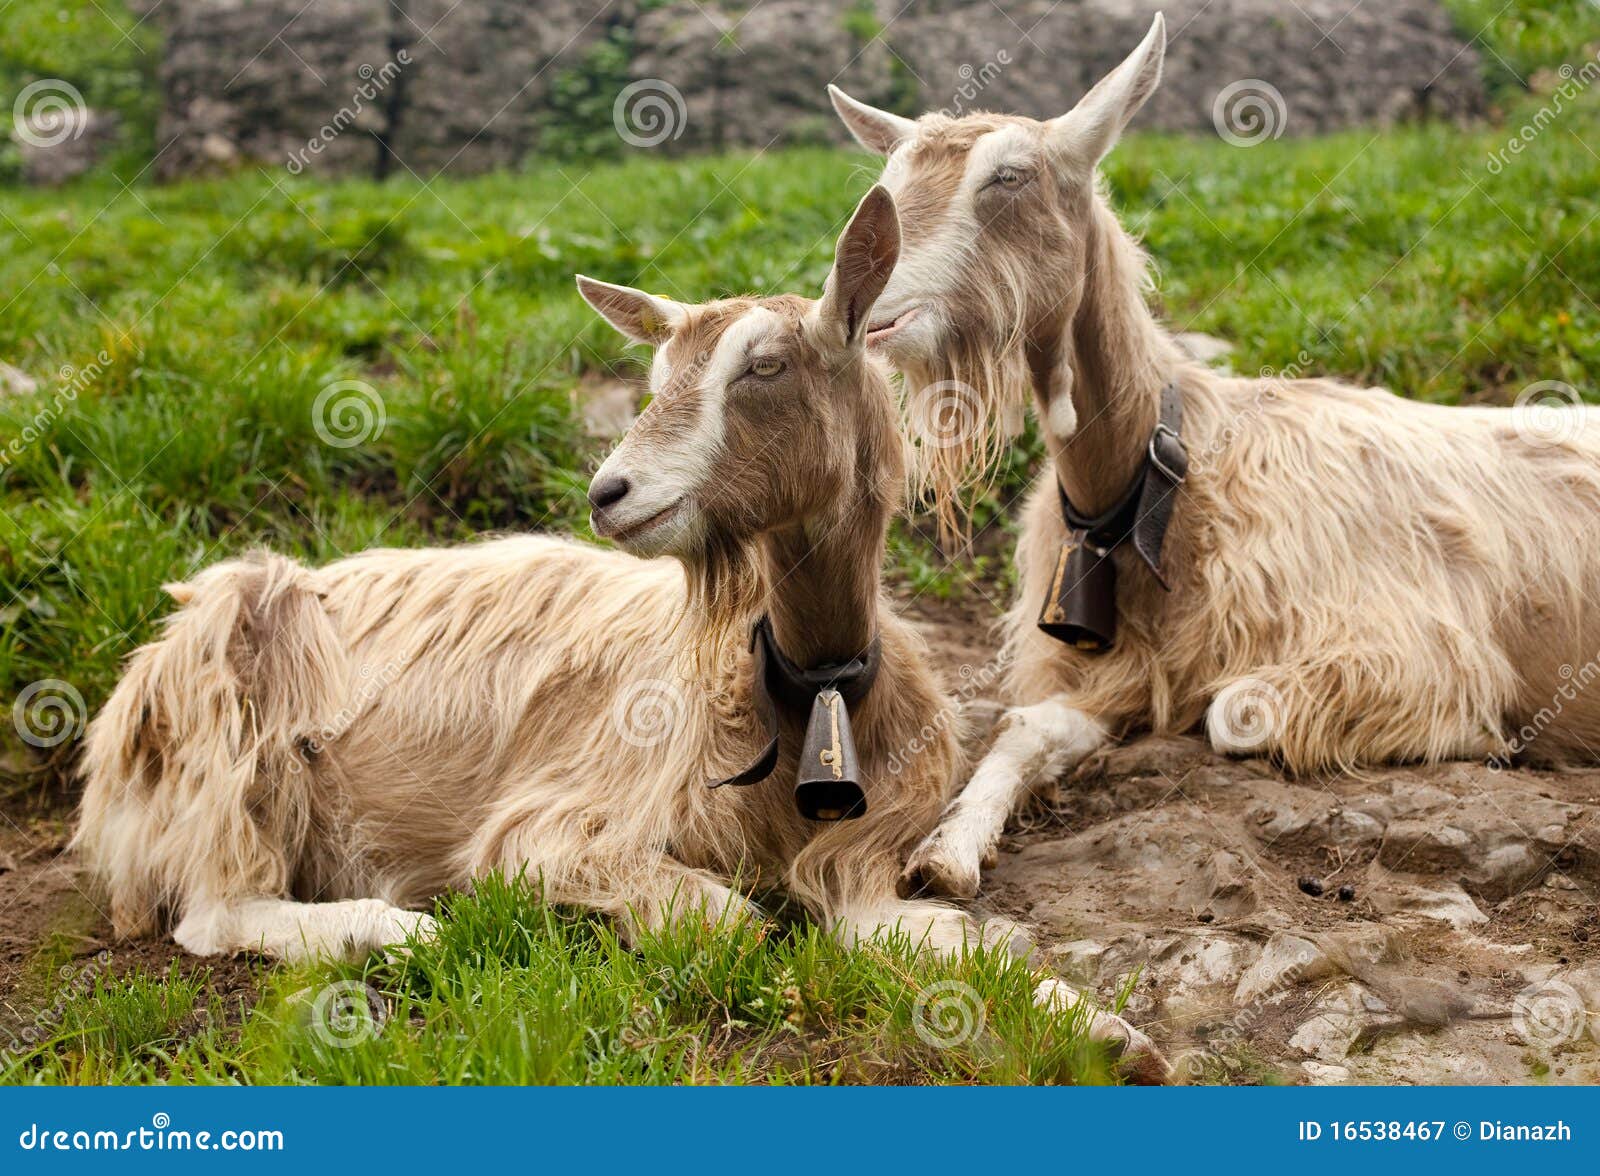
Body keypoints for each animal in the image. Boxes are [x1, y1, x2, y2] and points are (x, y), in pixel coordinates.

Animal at [71, 188, 1163, 1072]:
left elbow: (958, 939)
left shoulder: (858, 858)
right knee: (208, 913)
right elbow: (731, 926)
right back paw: (401, 929)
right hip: (243, 693)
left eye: (766, 364)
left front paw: (1110, 1036)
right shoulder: (549, 828)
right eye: (653, 376)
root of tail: (119, 732)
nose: (611, 491)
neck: (796, 682)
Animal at [830, 14, 1600, 900]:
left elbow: (1237, 714)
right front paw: (949, 849)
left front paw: (1476, 735)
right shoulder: (1111, 664)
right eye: (886, 181)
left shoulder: (1412, 649)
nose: (866, 309)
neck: (1159, 482)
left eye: (1009, 176)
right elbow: (1030, 727)